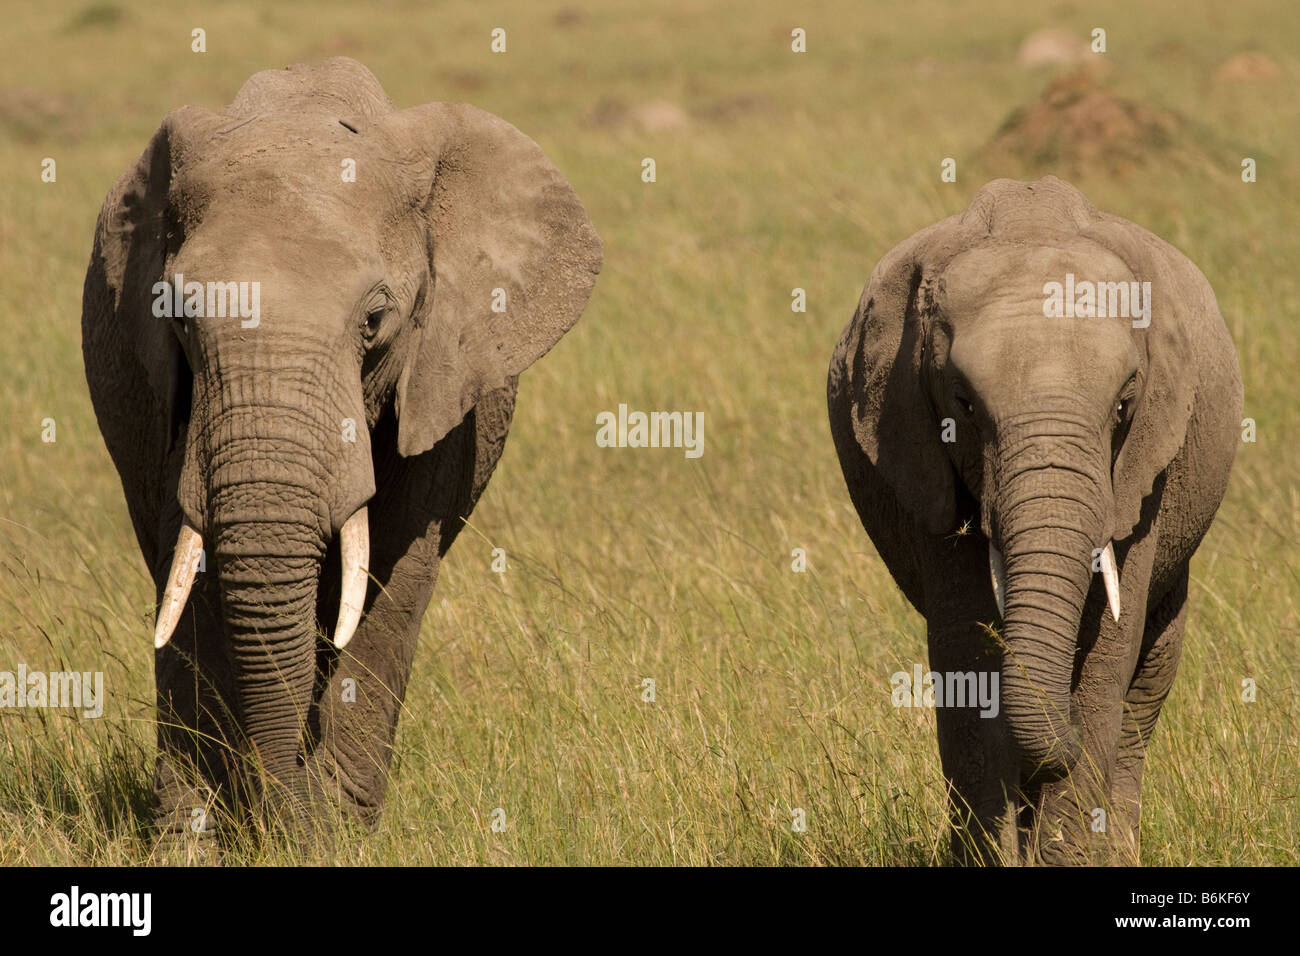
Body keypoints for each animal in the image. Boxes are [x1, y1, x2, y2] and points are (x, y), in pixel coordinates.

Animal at [81, 57, 602, 841]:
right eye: (179, 319)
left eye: (375, 321)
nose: (281, 820)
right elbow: (190, 562)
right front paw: (193, 840)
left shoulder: (438, 377)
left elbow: (392, 573)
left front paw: (337, 831)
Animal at [826, 176, 1241, 864]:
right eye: (964, 405)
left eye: (1124, 404)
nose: (1053, 754)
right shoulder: (916, 446)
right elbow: (966, 653)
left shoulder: (1143, 472)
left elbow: (1106, 661)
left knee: (1148, 683)